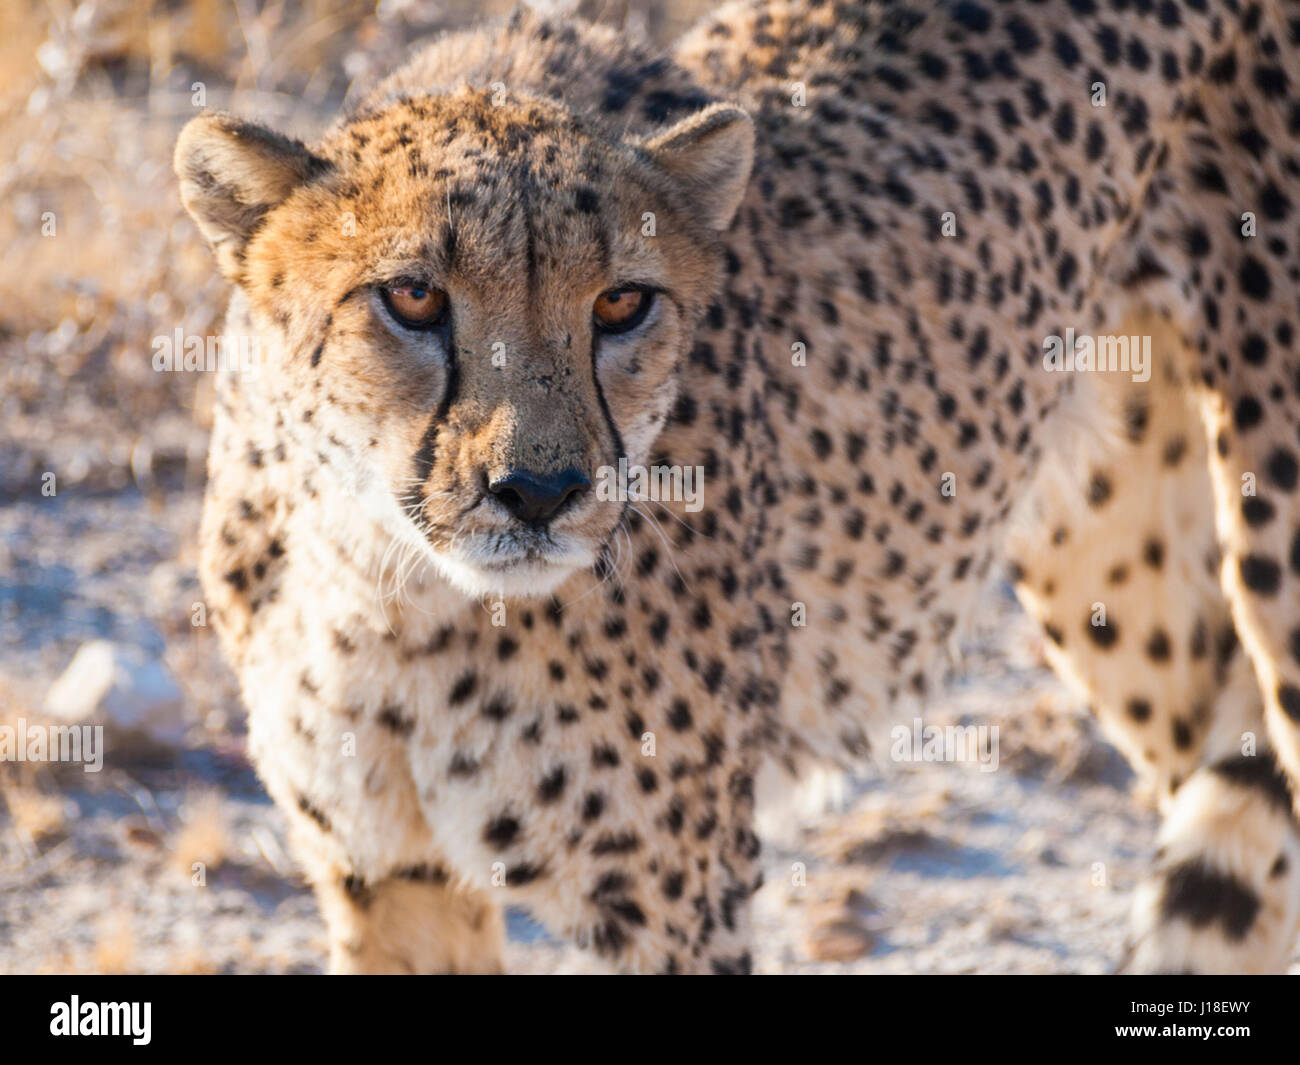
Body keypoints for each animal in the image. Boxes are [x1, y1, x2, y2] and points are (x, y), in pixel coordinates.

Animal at [174, 0, 1300, 973]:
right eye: (412, 296)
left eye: (621, 304)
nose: (537, 490)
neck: (390, 585)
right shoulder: (387, 869)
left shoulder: (671, 898)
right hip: (1113, 571)